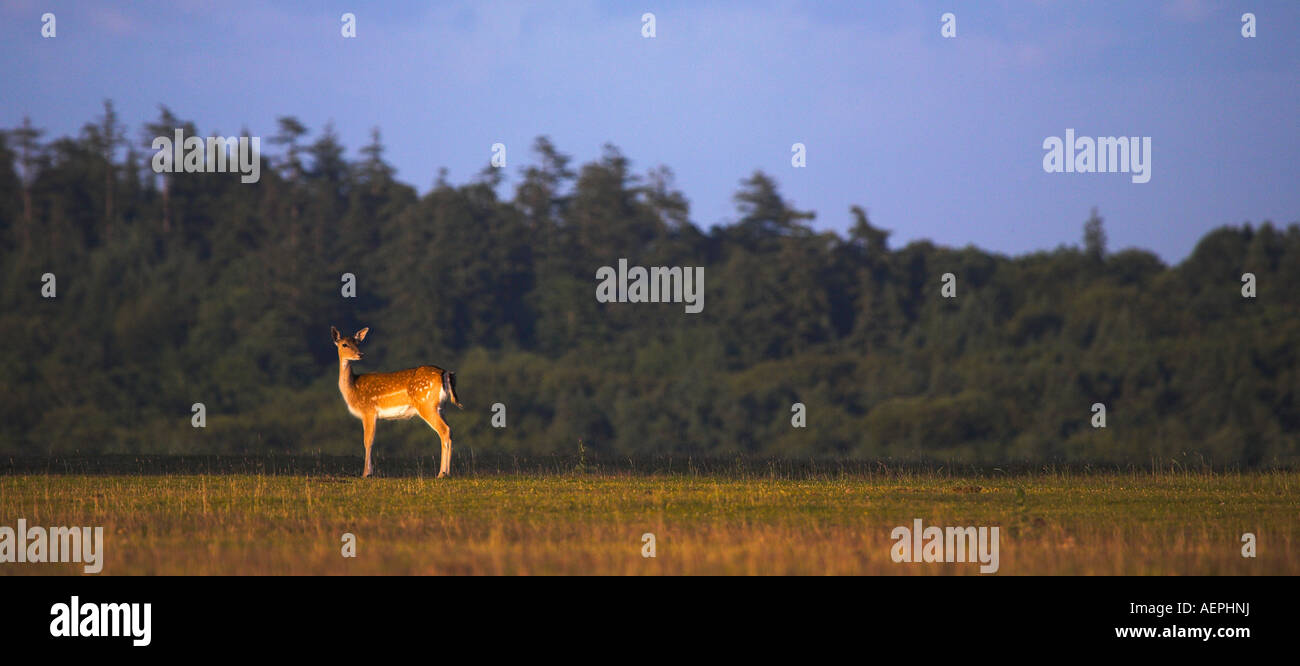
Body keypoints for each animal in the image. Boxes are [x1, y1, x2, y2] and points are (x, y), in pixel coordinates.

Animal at [331, 326, 462, 478]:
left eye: (357, 343)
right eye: (344, 344)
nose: (360, 354)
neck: (352, 390)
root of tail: (445, 373)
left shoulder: (368, 410)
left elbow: (368, 441)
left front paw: (366, 473)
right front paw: (368, 472)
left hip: (426, 404)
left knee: (444, 430)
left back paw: (441, 473)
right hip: (441, 407)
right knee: (450, 431)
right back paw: (447, 472)